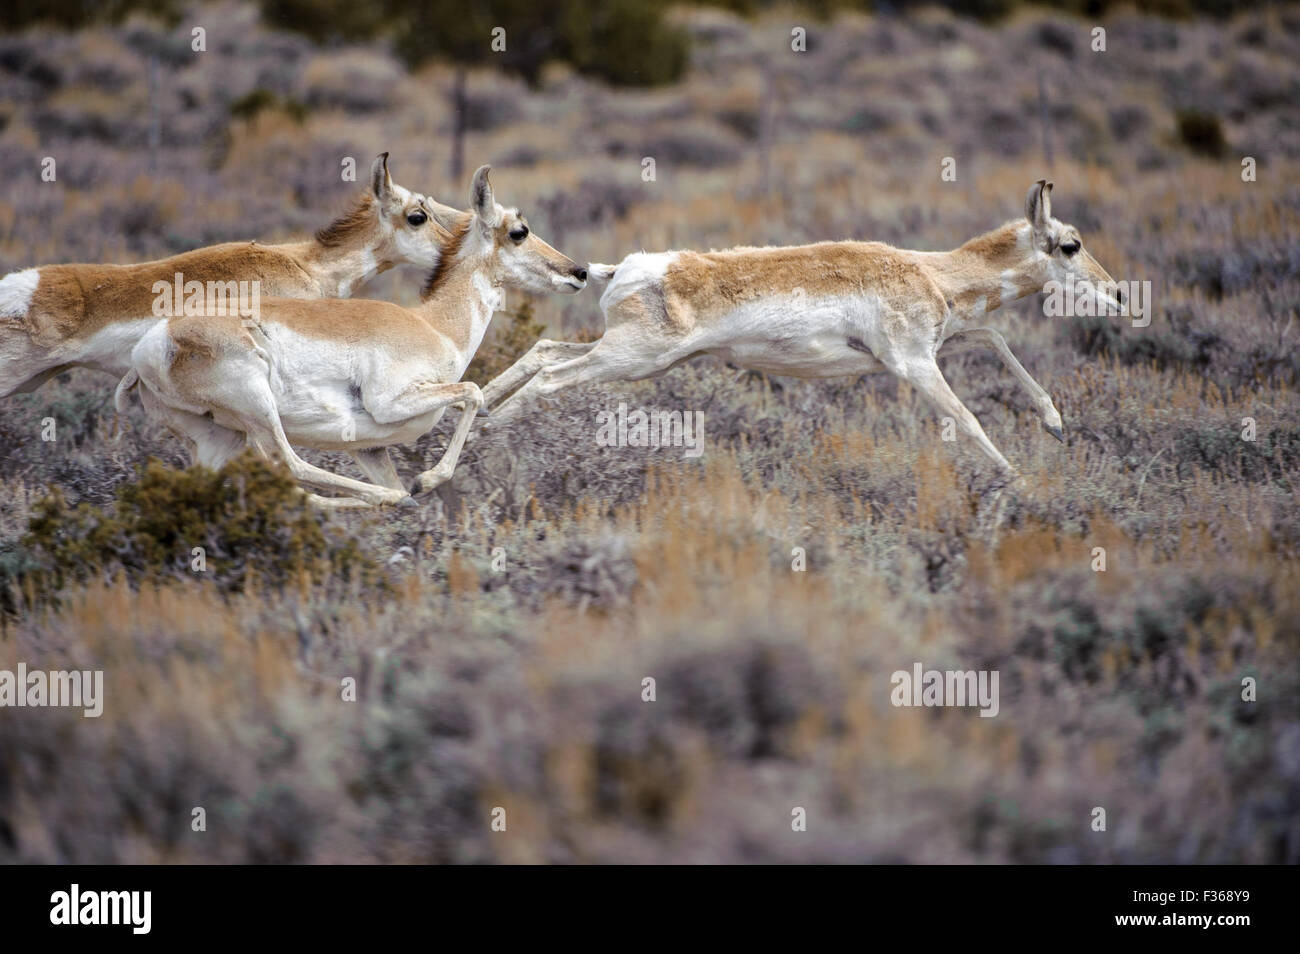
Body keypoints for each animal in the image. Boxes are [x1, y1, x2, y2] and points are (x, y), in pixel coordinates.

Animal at [116, 166, 587, 509]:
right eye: (519, 231)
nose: (579, 271)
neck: (433, 324)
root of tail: (154, 343)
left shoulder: (370, 449)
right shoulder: (392, 401)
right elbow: (472, 392)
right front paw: (423, 481)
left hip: (219, 436)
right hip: (258, 405)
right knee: (292, 465)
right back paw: (392, 499)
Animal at [480, 180, 1121, 478]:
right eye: (1071, 244)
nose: (1117, 292)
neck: (932, 270)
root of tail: (625, 268)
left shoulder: (948, 341)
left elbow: (997, 338)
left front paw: (1056, 424)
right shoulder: (915, 365)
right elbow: (967, 417)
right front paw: (1021, 484)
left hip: (636, 358)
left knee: (542, 352)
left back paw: (475, 418)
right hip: (630, 359)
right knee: (550, 377)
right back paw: (484, 448)